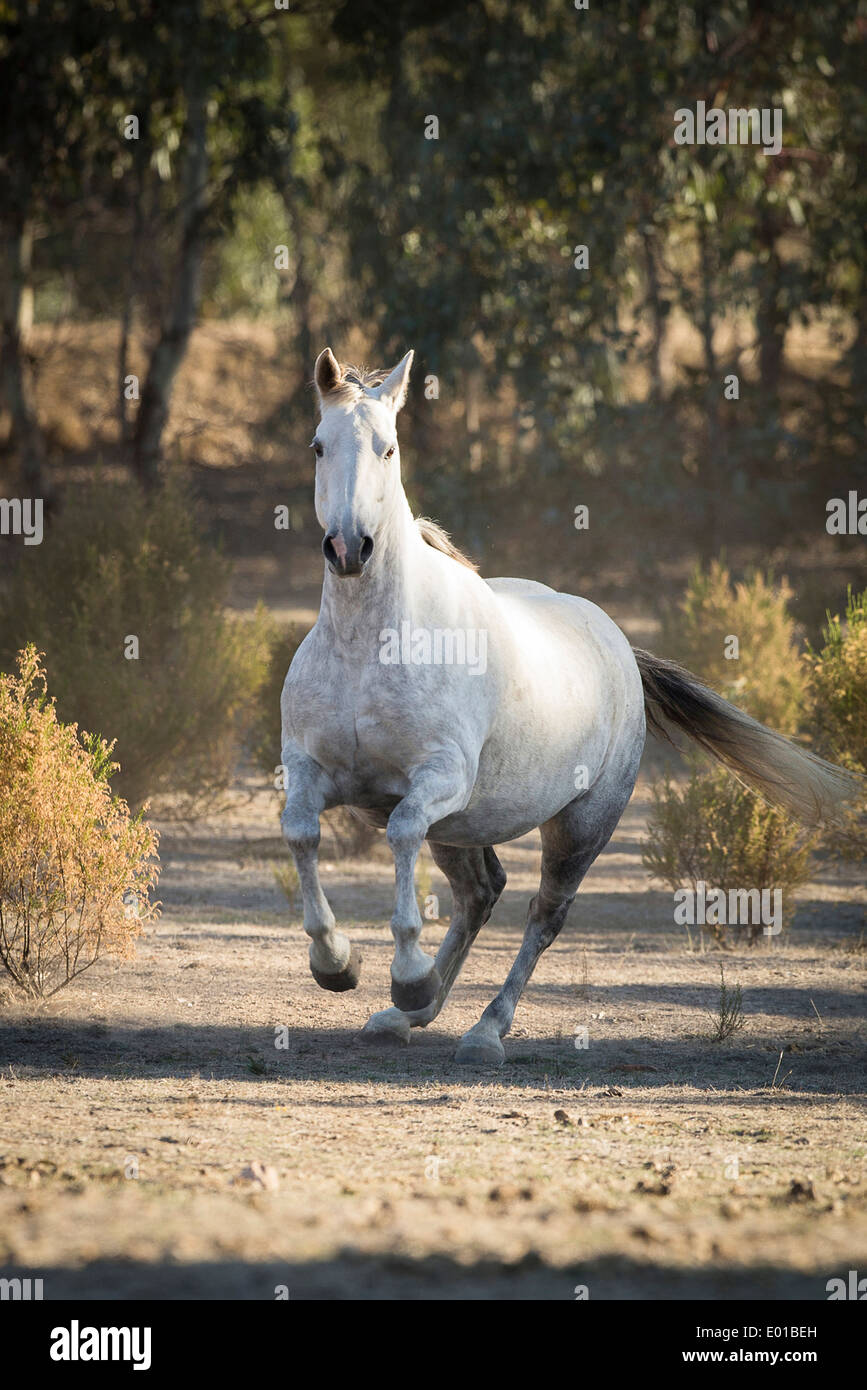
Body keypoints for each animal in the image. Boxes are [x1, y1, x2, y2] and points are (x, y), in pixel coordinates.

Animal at [279, 345, 858, 1066]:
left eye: (388, 448)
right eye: (318, 445)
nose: (349, 549)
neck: (369, 644)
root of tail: (616, 642)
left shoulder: (435, 781)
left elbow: (401, 833)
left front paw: (403, 971)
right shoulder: (312, 772)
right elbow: (300, 833)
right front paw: (336, 963)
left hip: (579, 828)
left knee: (542, 916)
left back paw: (480, 1028)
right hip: (465, 825)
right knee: (479, 895)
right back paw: (409, 1013)